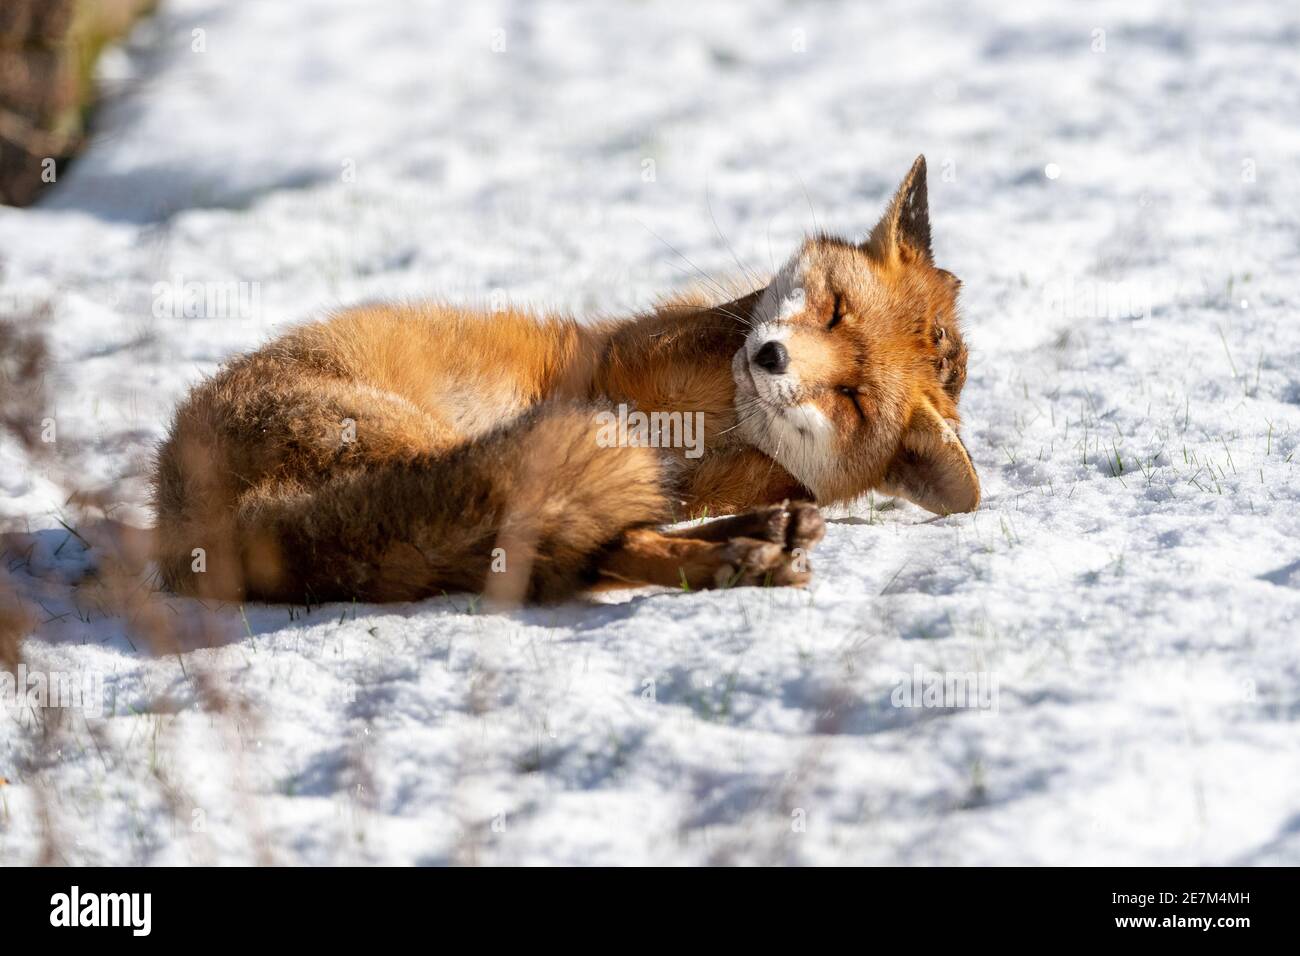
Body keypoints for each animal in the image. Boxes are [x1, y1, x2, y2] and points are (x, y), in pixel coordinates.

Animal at [152, 155, 979, 605]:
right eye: (835, 312)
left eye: (852, 399)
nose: (771, 358)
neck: (709, 418)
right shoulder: (607, 378)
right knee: (573, 542)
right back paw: (741, 554)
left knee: (573, 548)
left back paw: (750, 547)